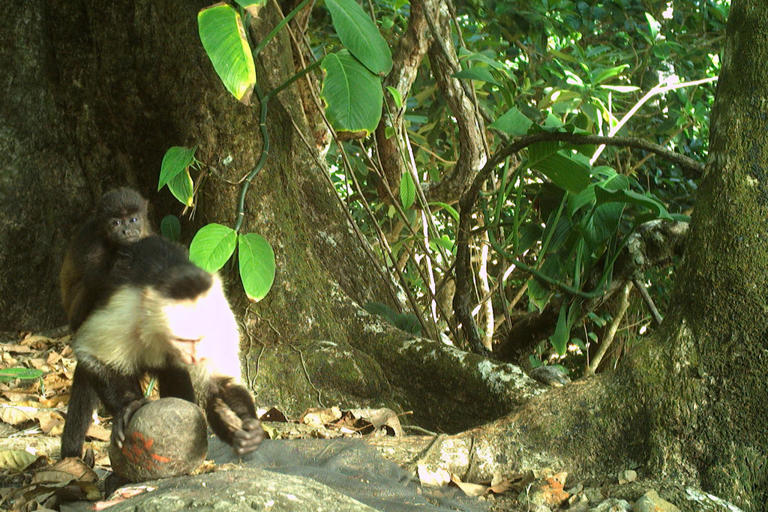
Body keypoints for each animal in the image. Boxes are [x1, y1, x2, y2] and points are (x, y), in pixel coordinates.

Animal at [59, 187, 152, 331]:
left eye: (133, 220)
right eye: (116, 223)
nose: (127, 231)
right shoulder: (94, 241)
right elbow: (94, 277)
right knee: (89, 287)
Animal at [60, 235, 265, 459]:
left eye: (200, 339)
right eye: (183, 340)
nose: (195, 357)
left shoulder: (222, 316)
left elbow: (222, 383)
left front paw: (246, 426)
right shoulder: (126, 310)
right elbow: (91, 354)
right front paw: (130, 405)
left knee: (175, 374)